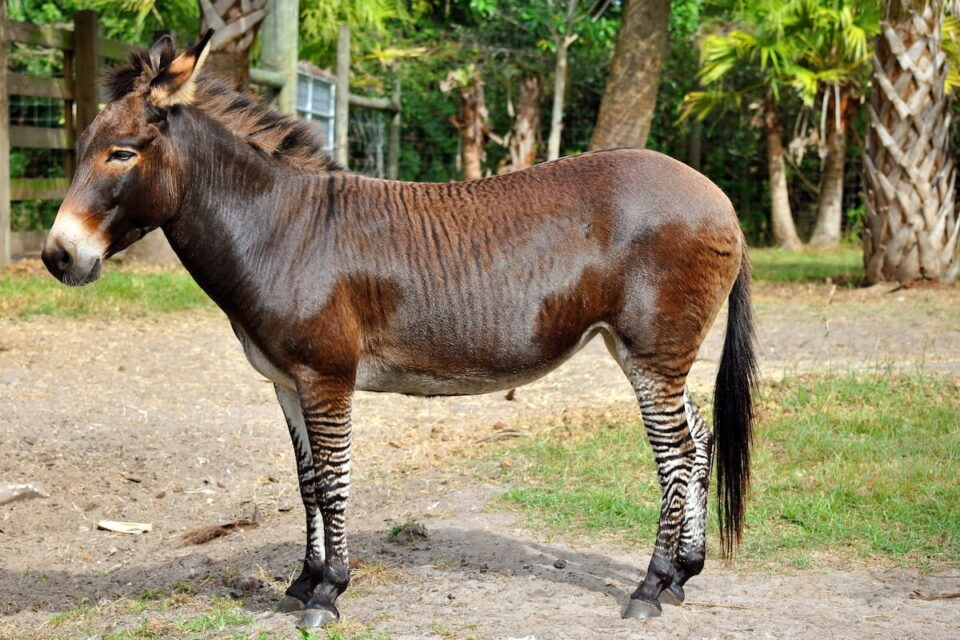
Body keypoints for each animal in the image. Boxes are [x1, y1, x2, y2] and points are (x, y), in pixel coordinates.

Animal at [41, 33, 757, 628]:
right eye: (81, 151)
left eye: (122, 153)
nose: (57, 258)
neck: (280, 230)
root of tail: (719, 196)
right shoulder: (286, 382)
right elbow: (307, 484)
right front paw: (302, 583)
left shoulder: (327, 377)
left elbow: (333, 482)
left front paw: (329, 592)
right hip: (651, 352)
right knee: (700, 440)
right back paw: (682, 576)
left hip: (653, 349)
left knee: (676, 454)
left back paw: (650, 587)